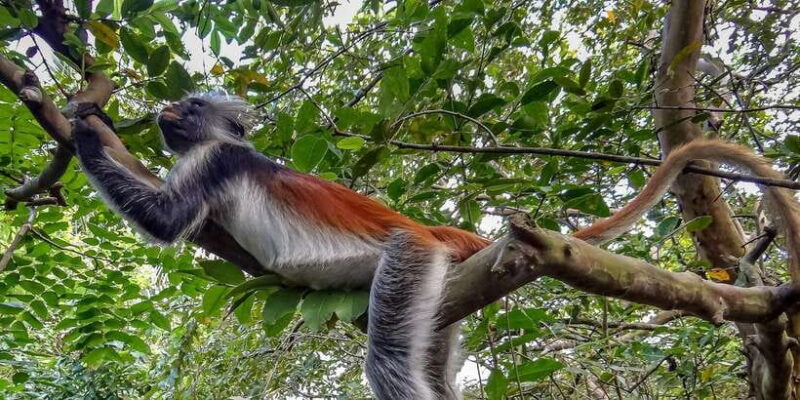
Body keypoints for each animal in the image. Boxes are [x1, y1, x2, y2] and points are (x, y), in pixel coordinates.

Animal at [71, 92, 800, 399]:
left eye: (191, 108)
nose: (168, 112)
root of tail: (434, 230)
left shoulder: (216, 159)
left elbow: (168, 219)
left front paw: (87, 126)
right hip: (442, 289)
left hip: (410, 258)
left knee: (391, 361)